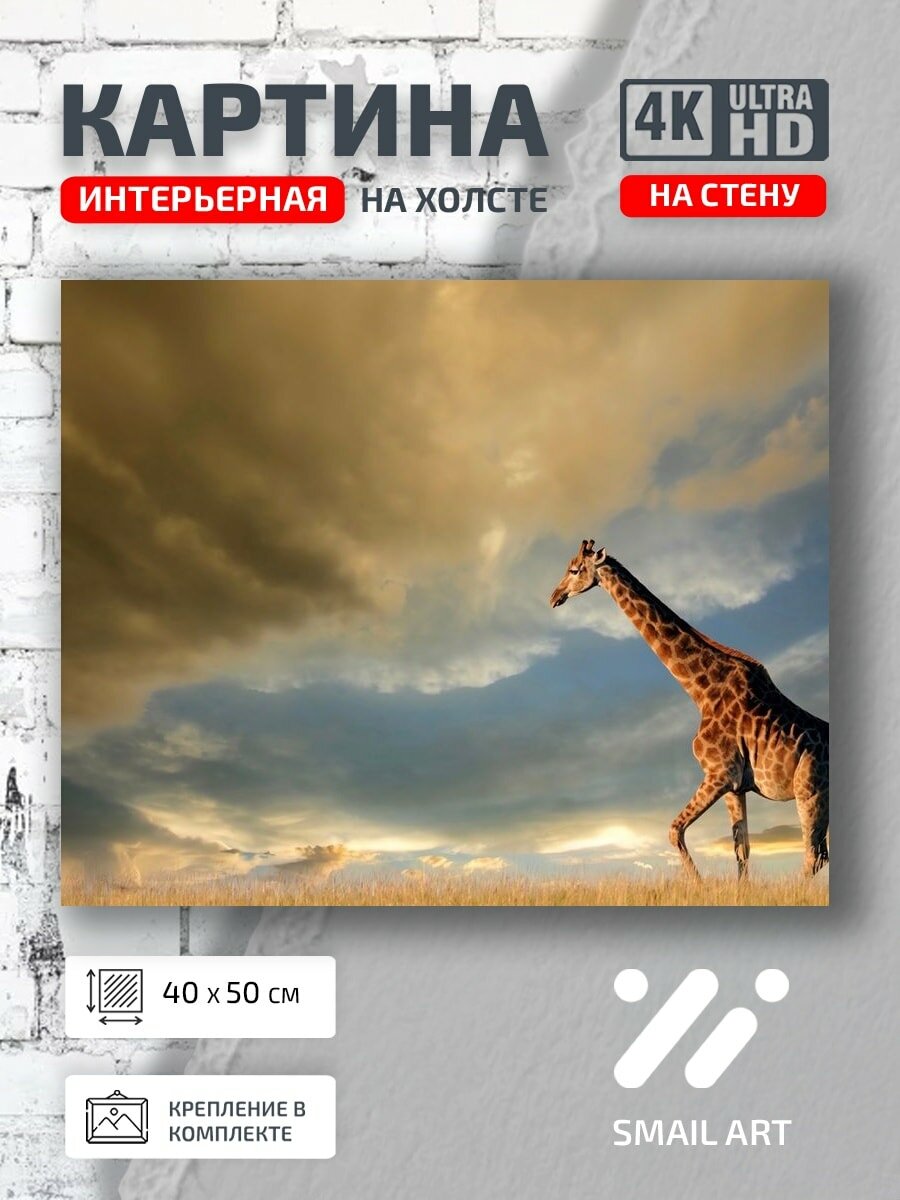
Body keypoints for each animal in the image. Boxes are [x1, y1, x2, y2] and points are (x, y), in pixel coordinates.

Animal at [549, 541, 829, 879]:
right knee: (818, 854)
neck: (701, 692)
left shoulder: (719, 774)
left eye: (575, 569)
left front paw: (698, 882)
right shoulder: (736, 785)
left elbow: (674, 830)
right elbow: (742, 849)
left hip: (809, 792)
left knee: (812, 855)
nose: (554, 597)